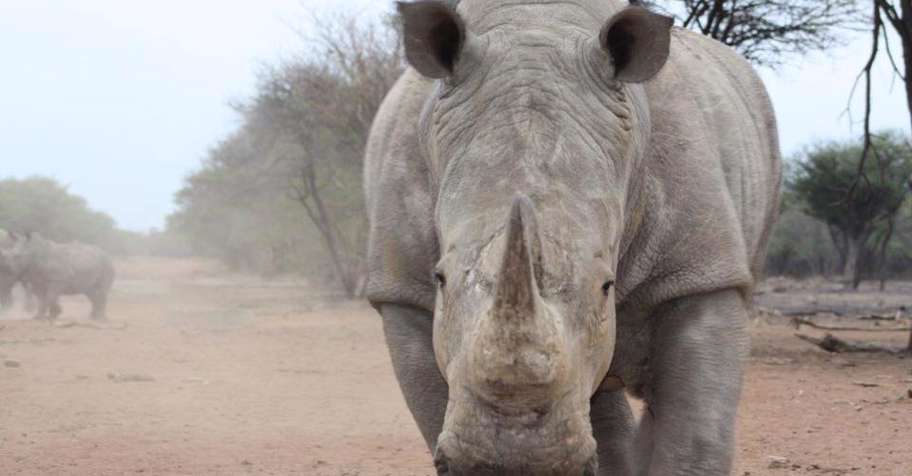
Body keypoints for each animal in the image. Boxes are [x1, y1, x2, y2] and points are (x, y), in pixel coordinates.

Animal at [364, 1, 781, 474]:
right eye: (440, 279)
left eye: (606, 286)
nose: (514, 464)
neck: (536, 26)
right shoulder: (404, 291)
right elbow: (437, 397)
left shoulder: (699, 274)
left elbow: (694, 439)